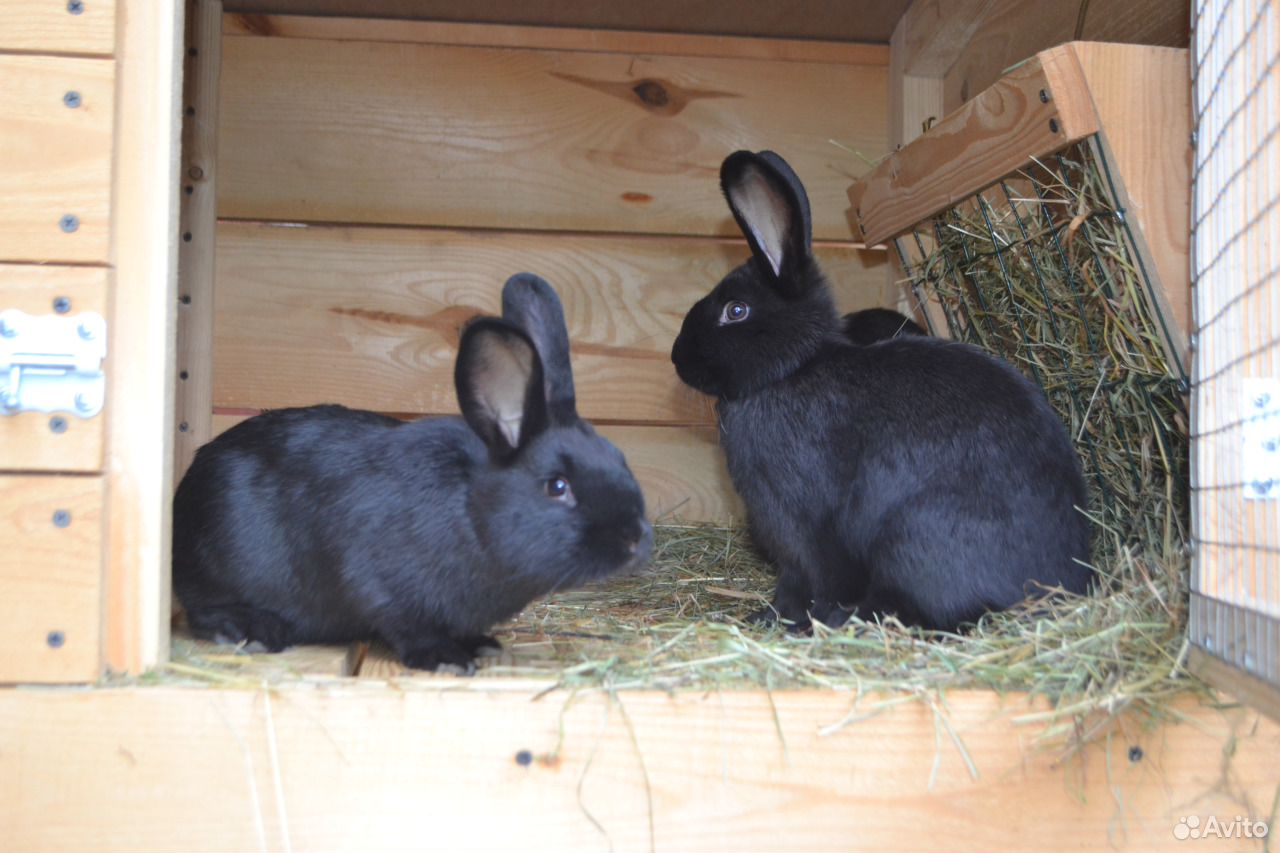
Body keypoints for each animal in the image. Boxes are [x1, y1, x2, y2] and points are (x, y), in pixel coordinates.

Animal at [173, 273, 653, 671]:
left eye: (620, 458)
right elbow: (411, 628)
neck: (472, 512)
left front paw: (481, 645)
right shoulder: (383, 586)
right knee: (203, 609)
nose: (635, 539)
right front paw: (446, 660)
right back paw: (250, 631)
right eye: (558, 486)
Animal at [670, 150, 1092, 632]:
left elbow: (804, 577)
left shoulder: (798, 523)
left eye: (735, 311)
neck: (792, 370)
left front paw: (786, 619)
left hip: (911, 541)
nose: (676, 356)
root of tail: (1063, 589)